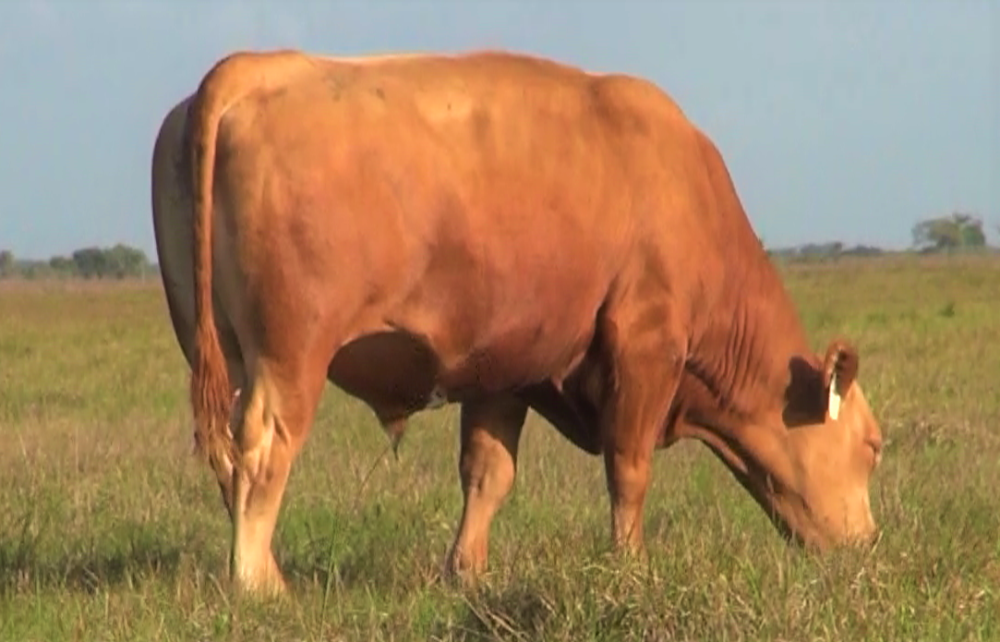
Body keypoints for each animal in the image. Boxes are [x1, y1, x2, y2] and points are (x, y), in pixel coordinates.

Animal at [151, 48, 884, 596]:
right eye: (874, 447)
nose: (869, 547)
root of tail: (255, 69)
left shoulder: (503, 372)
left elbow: (487, 475)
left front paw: (466, 573)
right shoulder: (646, 347)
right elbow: (629, 472)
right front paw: (630, 568)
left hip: (220, 350)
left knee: (227, 459)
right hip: (290, 358)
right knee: (260, 453)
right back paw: (259, 584)